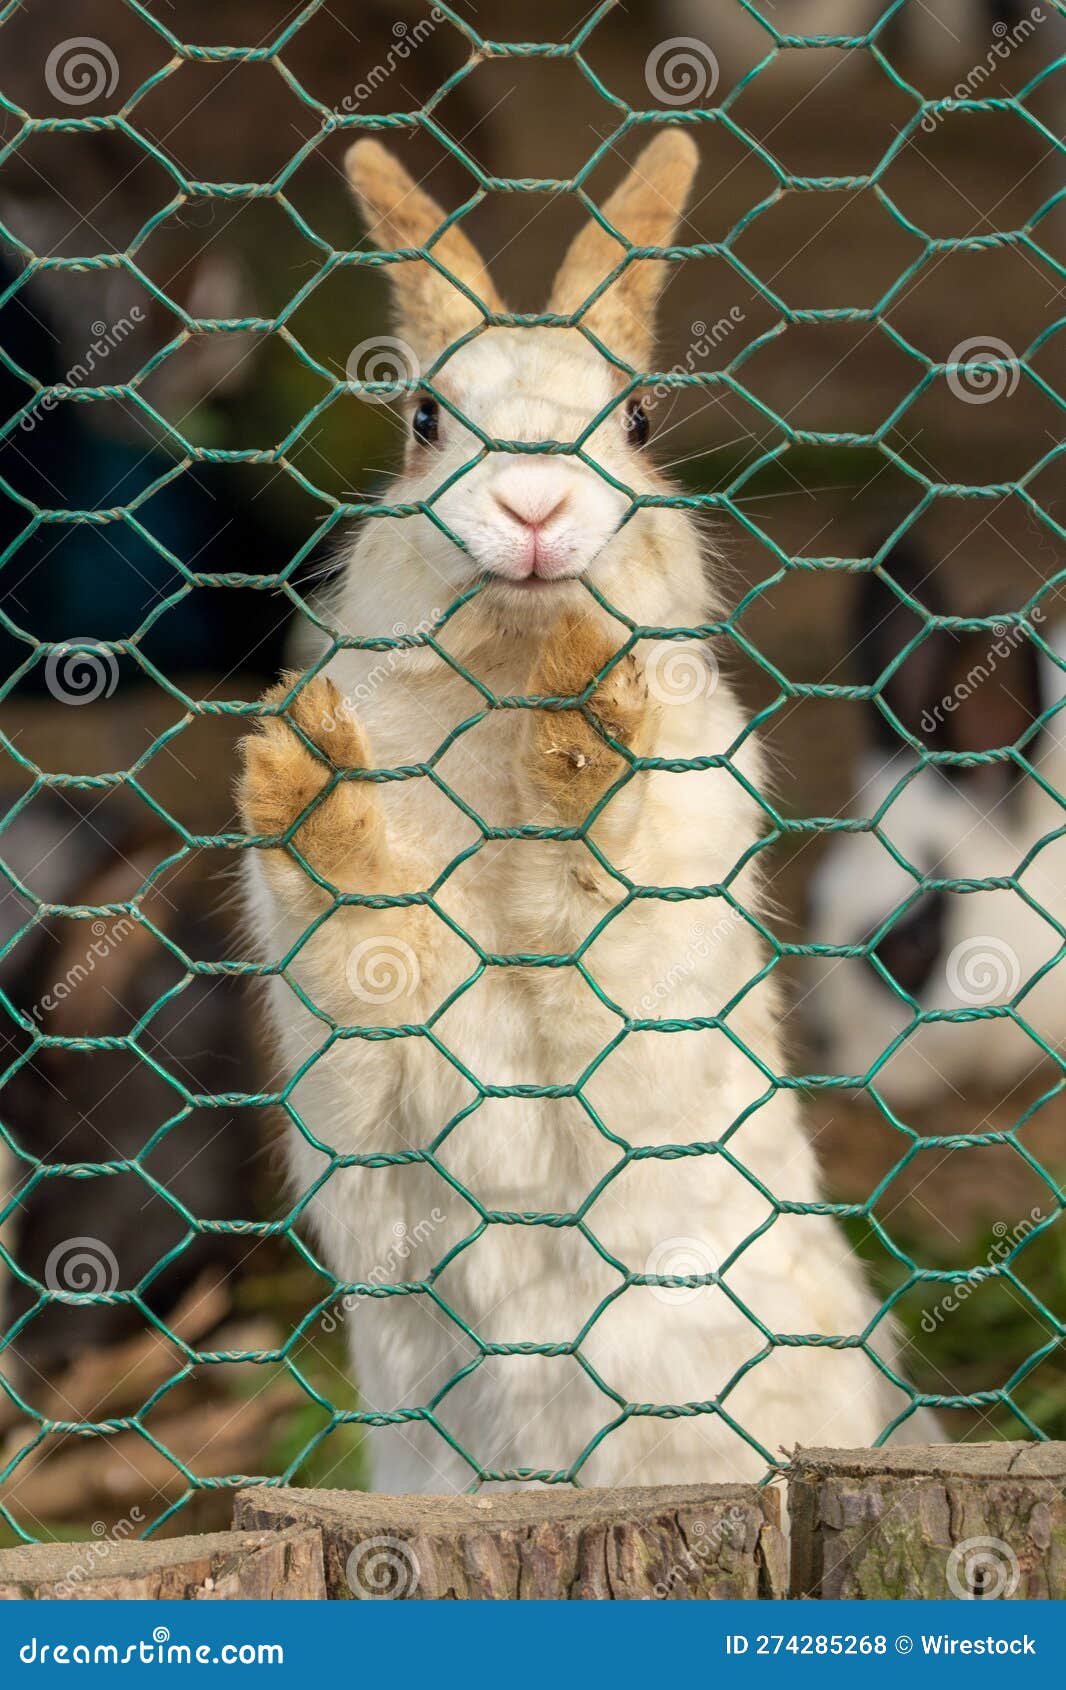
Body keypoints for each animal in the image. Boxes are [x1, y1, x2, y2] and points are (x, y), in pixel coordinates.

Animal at [237, 133, 940, 1495]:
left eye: (635, 418)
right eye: (423, 419)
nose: (531, 510)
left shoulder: (651, 939)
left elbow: (591, 871)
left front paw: (586, 719)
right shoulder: (364, 1030)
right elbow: (368, 927)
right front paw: (303, 766)